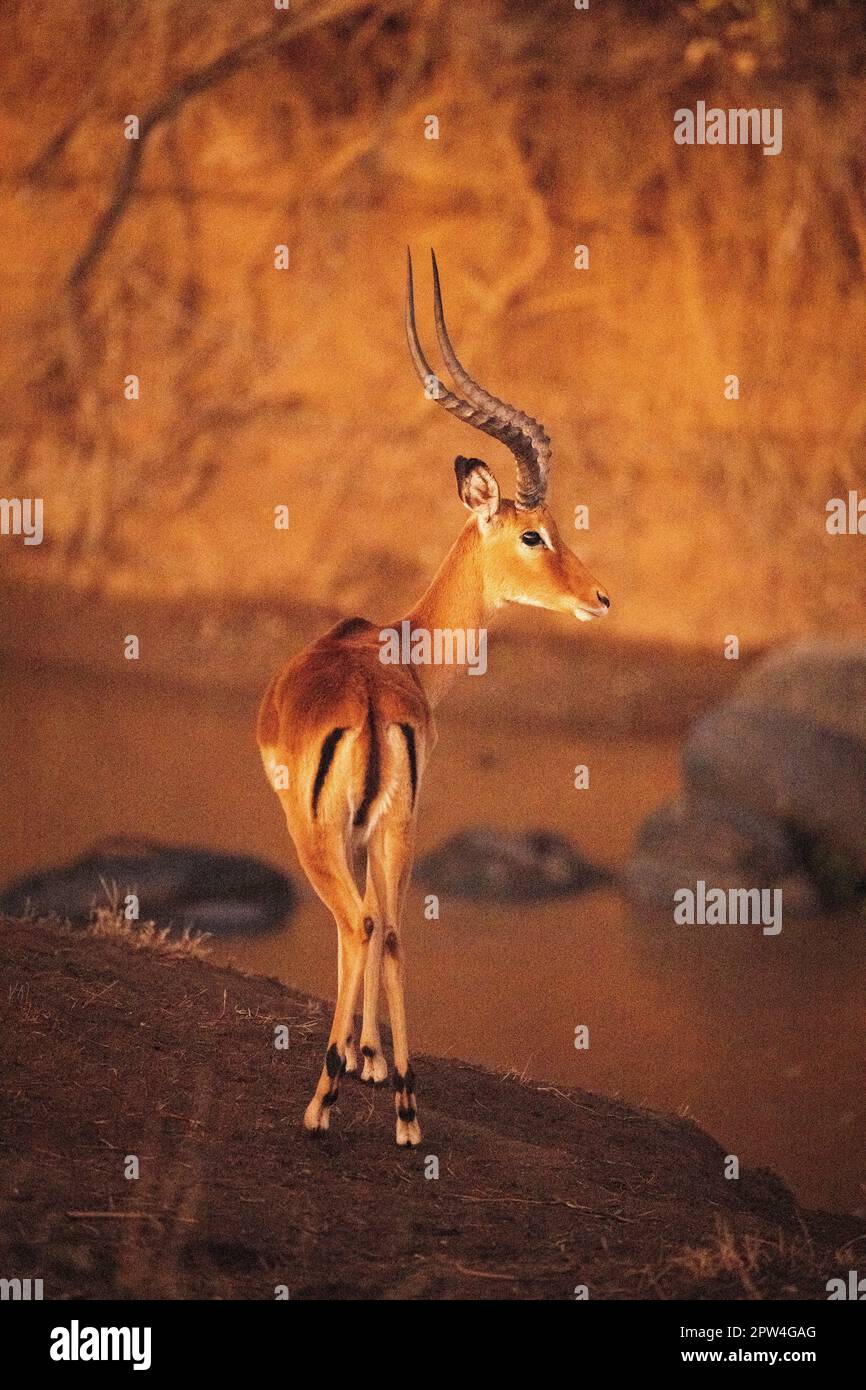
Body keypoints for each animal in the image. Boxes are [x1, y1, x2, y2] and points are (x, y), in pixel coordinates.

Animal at [257, 251, 610, 1146]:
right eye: (533, 533)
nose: (600, 598)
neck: (400, 647)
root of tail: (370, 704)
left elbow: (353, 932)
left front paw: (356, 1064)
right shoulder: (382, 826)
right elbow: (388, 931)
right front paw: (379, 1067)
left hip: (319, 832)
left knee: (357, 923)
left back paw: (322, 1103)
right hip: (396, 826)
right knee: (390, 928)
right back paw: (409, 1110)